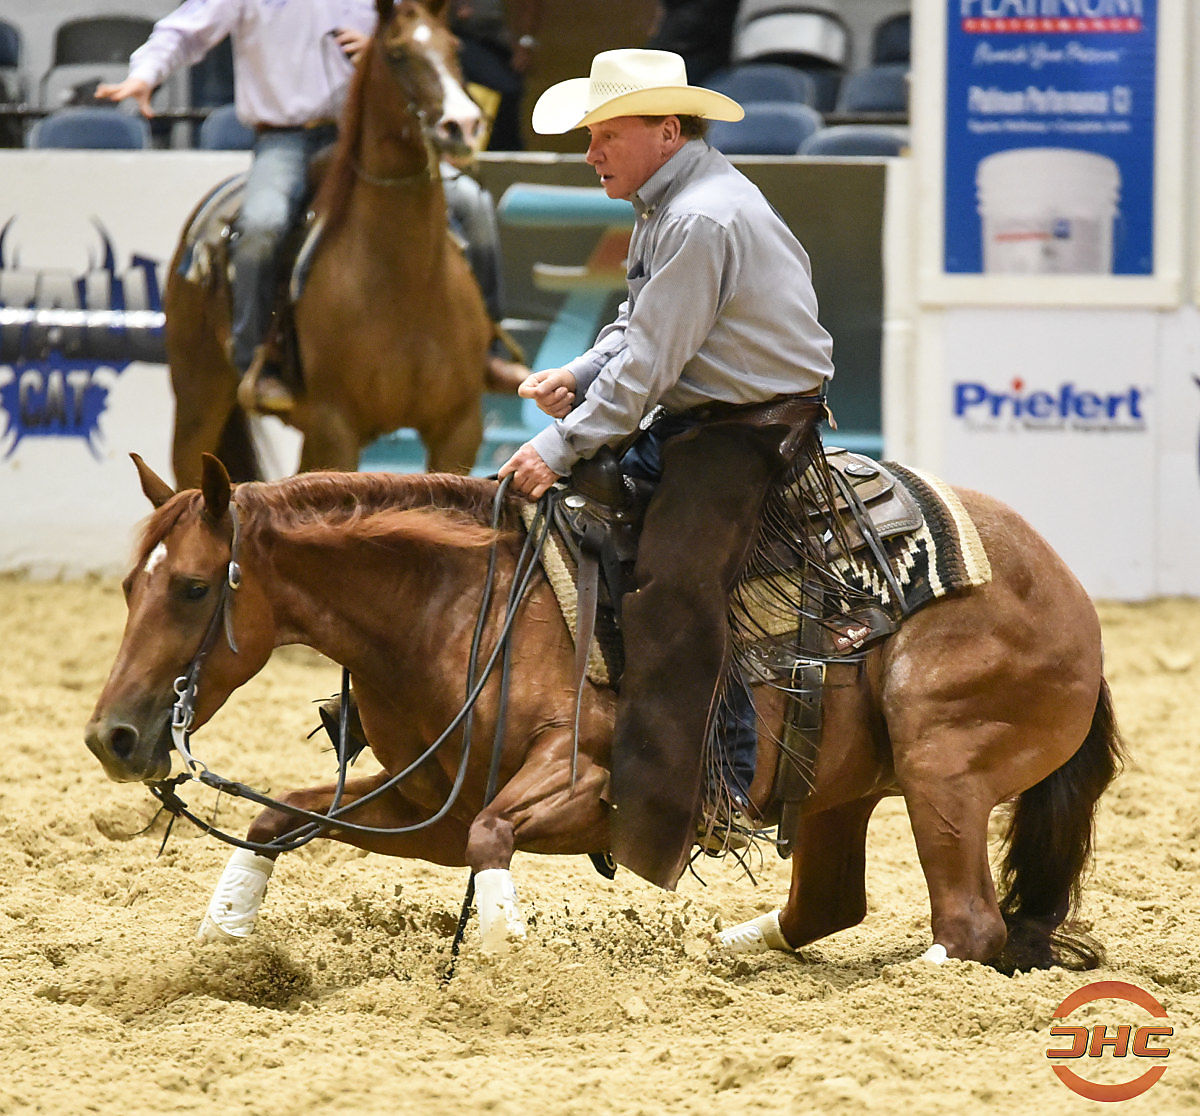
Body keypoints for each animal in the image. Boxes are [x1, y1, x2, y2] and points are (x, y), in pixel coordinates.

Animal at [85, 453, 1123, 969]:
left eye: (190, 588)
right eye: (127, 587)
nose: (113, 736)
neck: (459, 603)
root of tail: (1071, 591)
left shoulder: (589, 781)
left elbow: (495, 836)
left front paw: (503, 956)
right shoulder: (426, 798)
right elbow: (276, 820)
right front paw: (223, 946)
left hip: (939, 765)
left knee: (971, 926)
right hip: (844, 789)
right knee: (831, 905)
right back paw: (731, 953)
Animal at [166, 0, 502, 491]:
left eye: (454, 47)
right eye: (397, 54)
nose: (463, 125)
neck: (406, 283)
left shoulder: (459, 429)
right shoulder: (333, 428)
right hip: (197, 394)